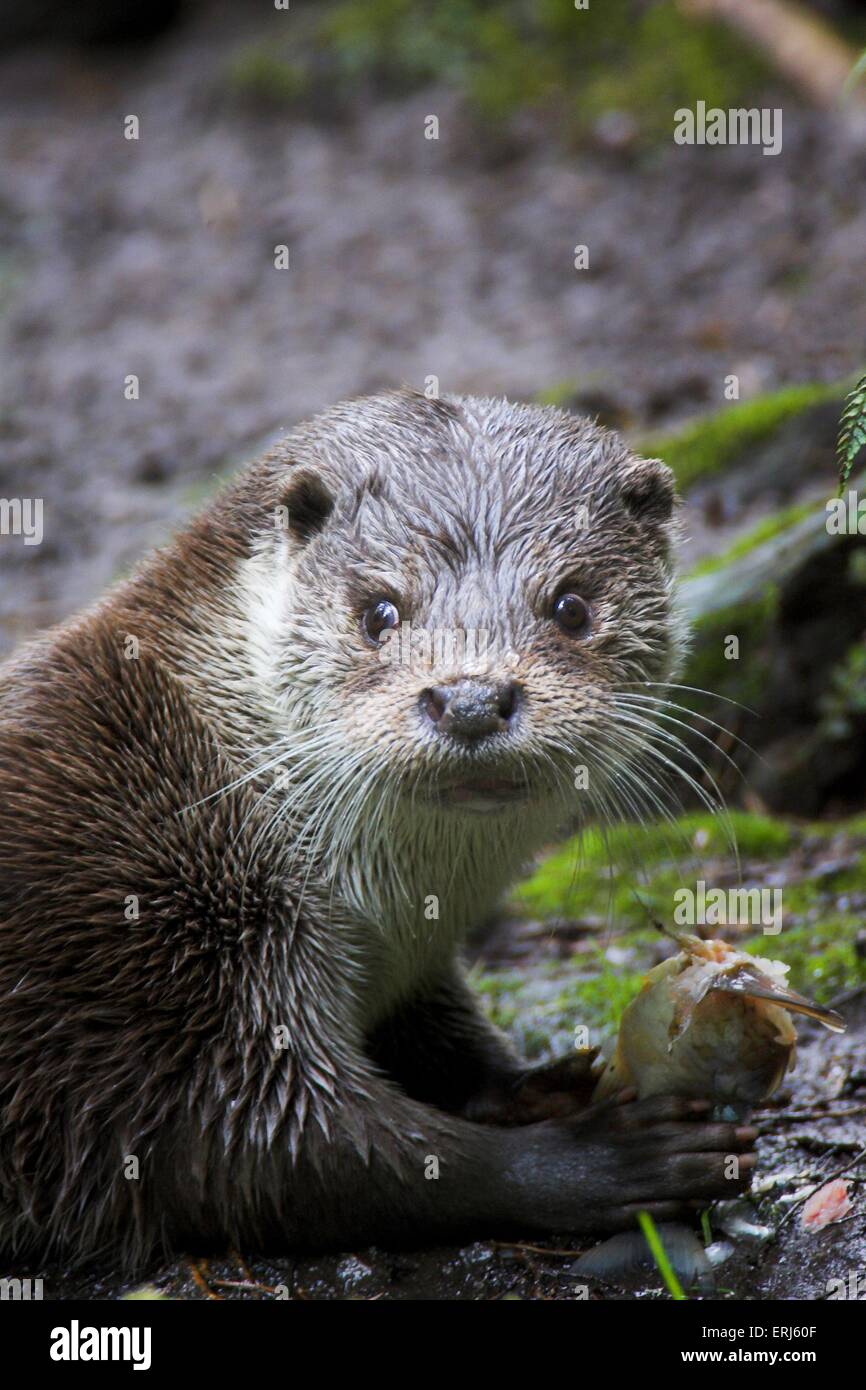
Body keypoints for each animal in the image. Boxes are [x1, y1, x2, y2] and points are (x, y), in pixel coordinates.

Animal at [0, 390, 754, 1268]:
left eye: (572, 606)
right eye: (379, 612)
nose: (471, 698)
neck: (215, 780)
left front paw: (538, 1085)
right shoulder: (175, 969)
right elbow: (277, 1150)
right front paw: (598, 1159)